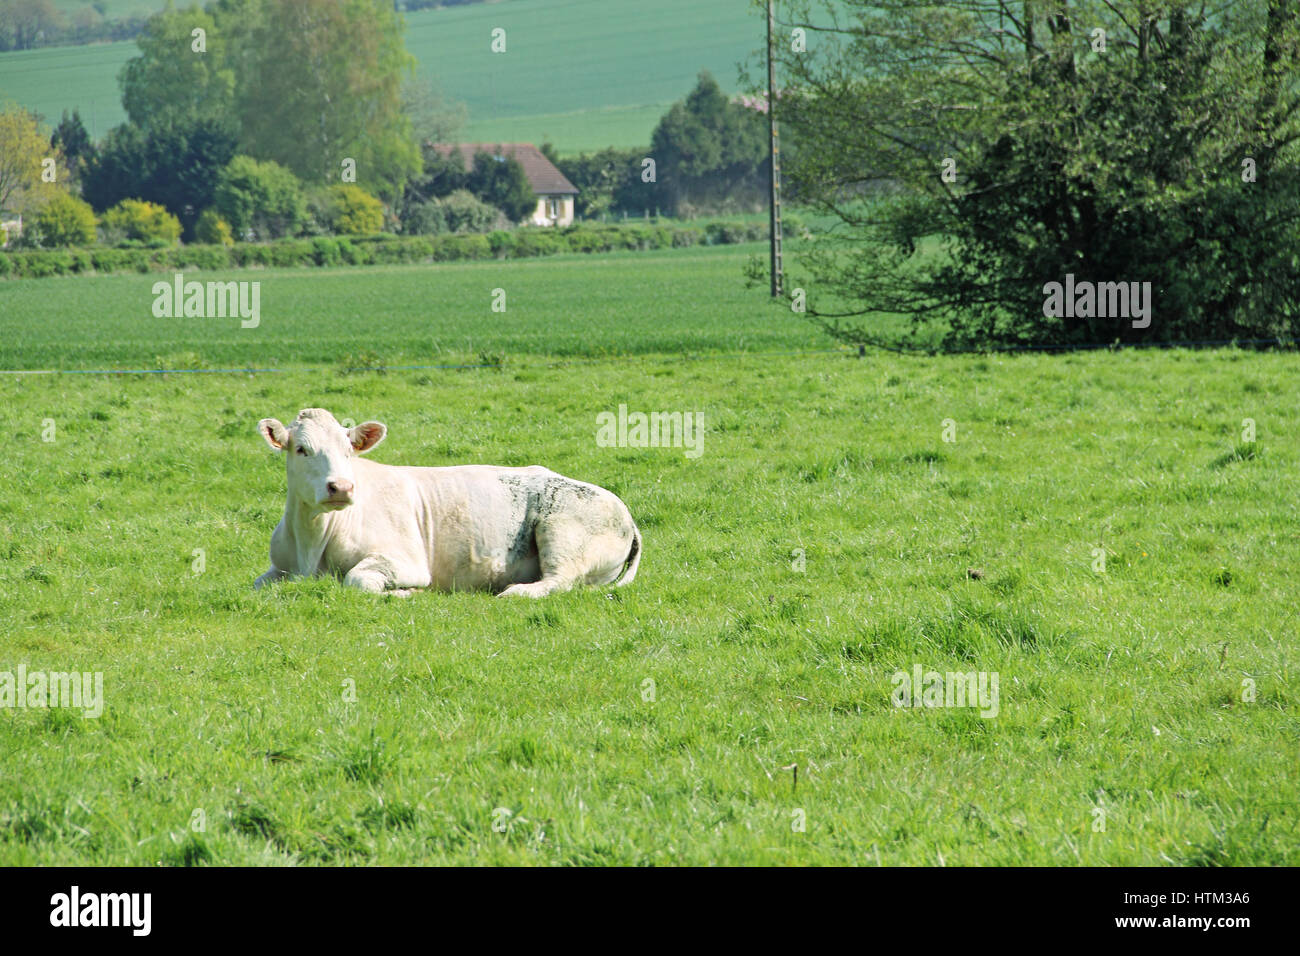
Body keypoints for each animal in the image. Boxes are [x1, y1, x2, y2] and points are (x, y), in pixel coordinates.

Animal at [253, 409, 641, 597]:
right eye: (301, 449)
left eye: (349, 450)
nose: (341, 487)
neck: (312, 541)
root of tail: (626, 514)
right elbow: (257, 585)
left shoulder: (407, 561)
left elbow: (357, 580)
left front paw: (405, 593)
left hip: (560, 530)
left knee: (560, 581)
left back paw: (515, 592)